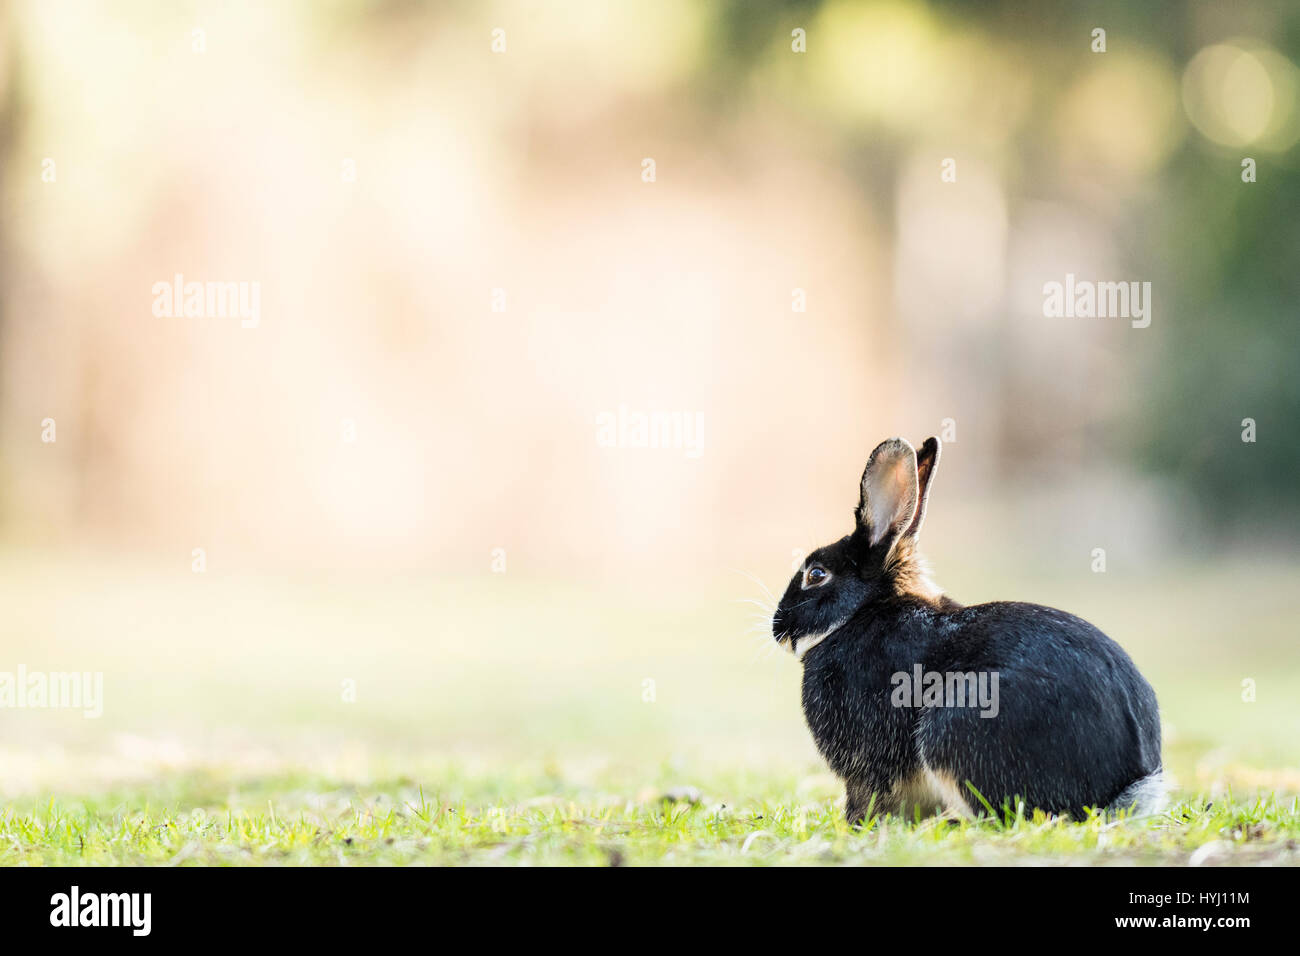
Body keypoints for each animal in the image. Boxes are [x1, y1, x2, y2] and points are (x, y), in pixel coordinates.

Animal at [772, 436, 1165, 823]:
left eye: (816, 574)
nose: (778, 629)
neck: (861, 613)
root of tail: (1122, 784)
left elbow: (867, 796)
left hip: (956, 726)